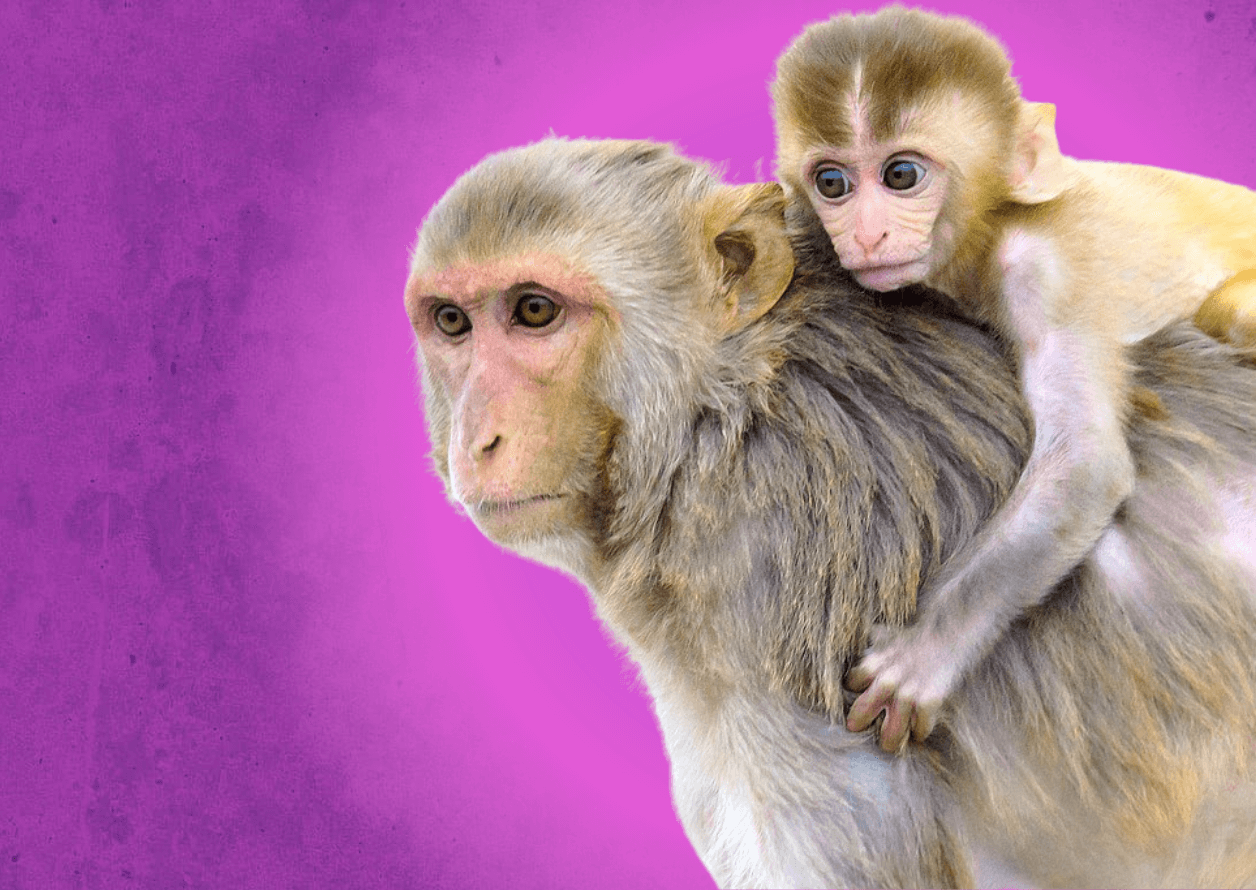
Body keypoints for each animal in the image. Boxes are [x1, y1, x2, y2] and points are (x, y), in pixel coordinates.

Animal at [770, 5, 1256, 752]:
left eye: (901, 175)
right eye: (832, 184)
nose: (868, 236)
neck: (989, 227)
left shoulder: (1042, 269)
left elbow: (1082, 466)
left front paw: (924, 654)